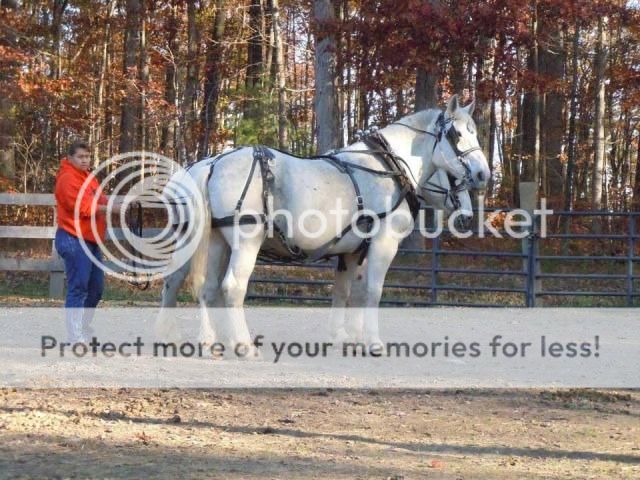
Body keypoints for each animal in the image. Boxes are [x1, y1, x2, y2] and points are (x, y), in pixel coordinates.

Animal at [156, 95, 489, 353]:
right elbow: (372, 292)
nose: (483, 175)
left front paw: (344, 337)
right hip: (245, 241)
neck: (388, 168)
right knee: (231, 287)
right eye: (457, 135)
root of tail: (211, 164)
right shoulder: (383, 243)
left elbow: (345, 292)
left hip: (214, 241)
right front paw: (371, 342)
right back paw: (242, 344)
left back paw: (197, 339)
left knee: (199, 285)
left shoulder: (352, 251)